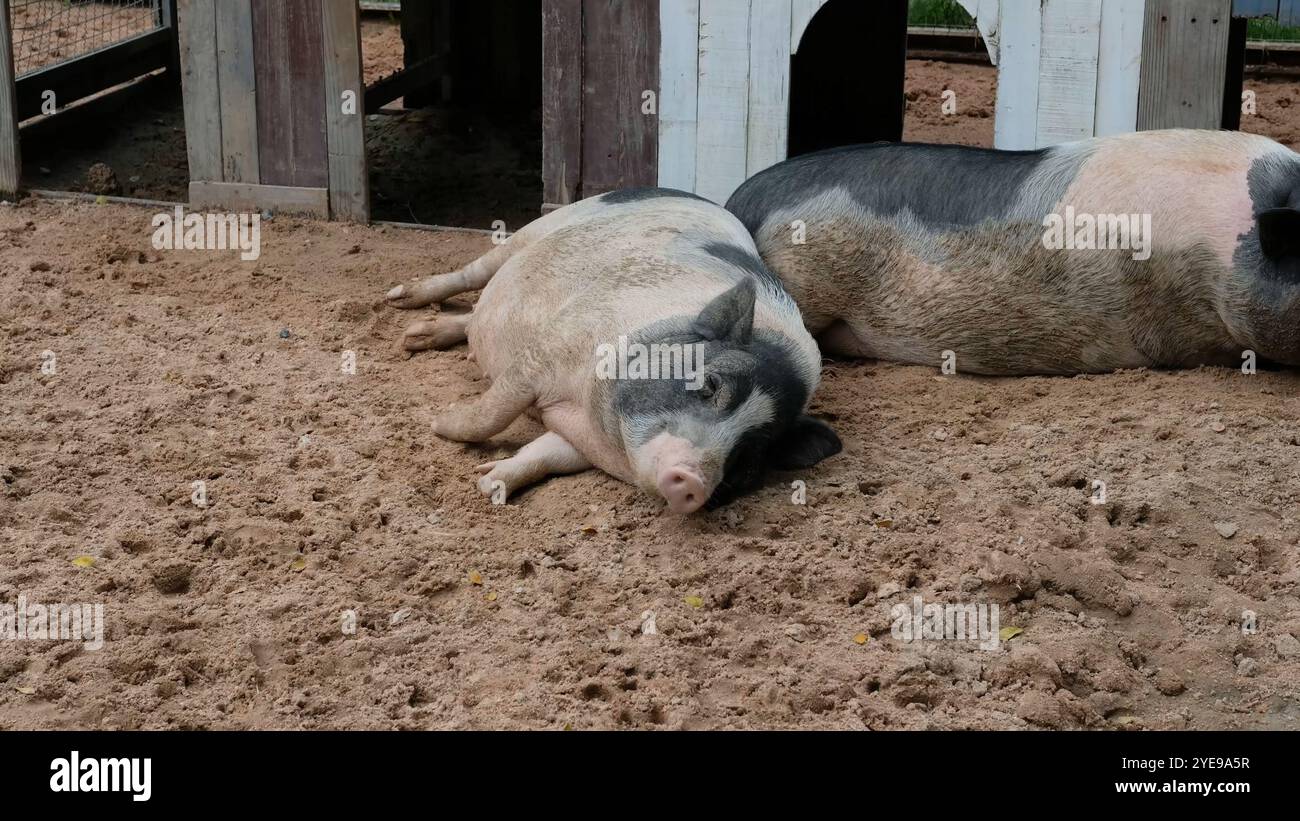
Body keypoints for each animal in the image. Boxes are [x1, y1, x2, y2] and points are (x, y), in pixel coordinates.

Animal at [384, 189, 841, 513]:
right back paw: (401, 306)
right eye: (708, 384)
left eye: (749, 454)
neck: (592, 419)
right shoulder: (550, 348)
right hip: (537, 229)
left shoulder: (578, 439)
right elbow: (493, 411)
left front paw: (489, 482)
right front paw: (439, 425)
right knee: (473, 273)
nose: (692, 480)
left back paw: (418, 336)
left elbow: (547, 454)